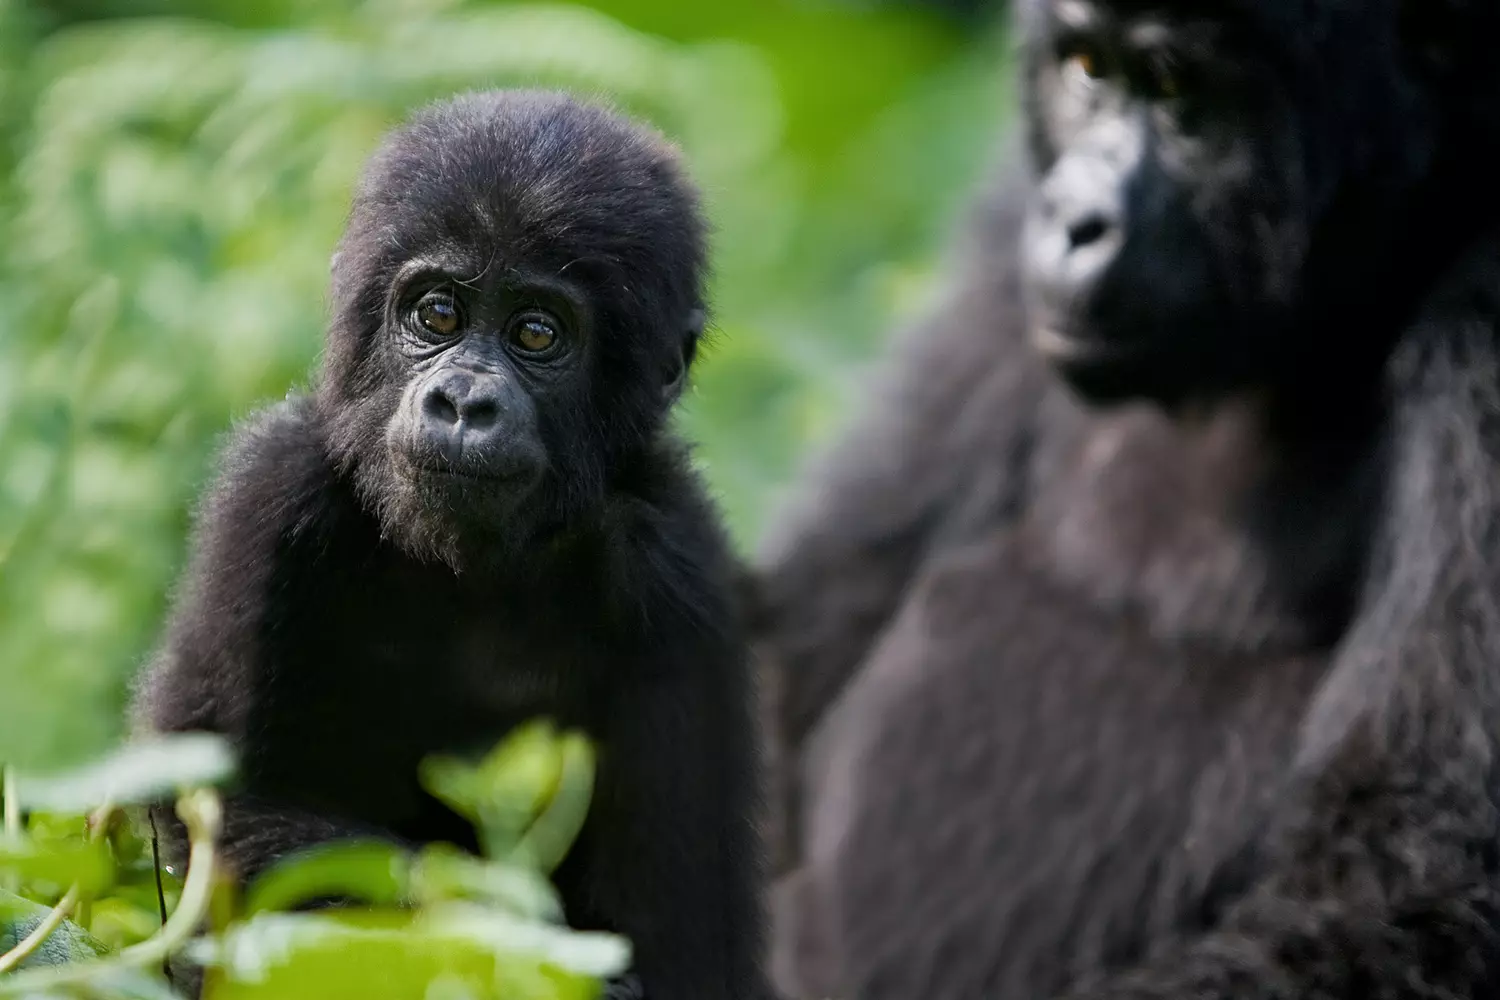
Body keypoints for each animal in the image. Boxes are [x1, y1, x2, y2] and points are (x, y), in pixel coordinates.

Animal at [135, 88, 768, 1000]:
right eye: (437, 314)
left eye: (537, 334)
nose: (464, 403)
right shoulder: (270, 488)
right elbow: (211, 808)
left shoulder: (683, 576)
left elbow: (686, 947)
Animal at [756, 1, 1500, 1000]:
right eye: (1086, 69)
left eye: (1179, 86)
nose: (1074, 220)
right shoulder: (1005, 227)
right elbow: (805, 623)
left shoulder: (1490, 321)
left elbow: (1414, 897)